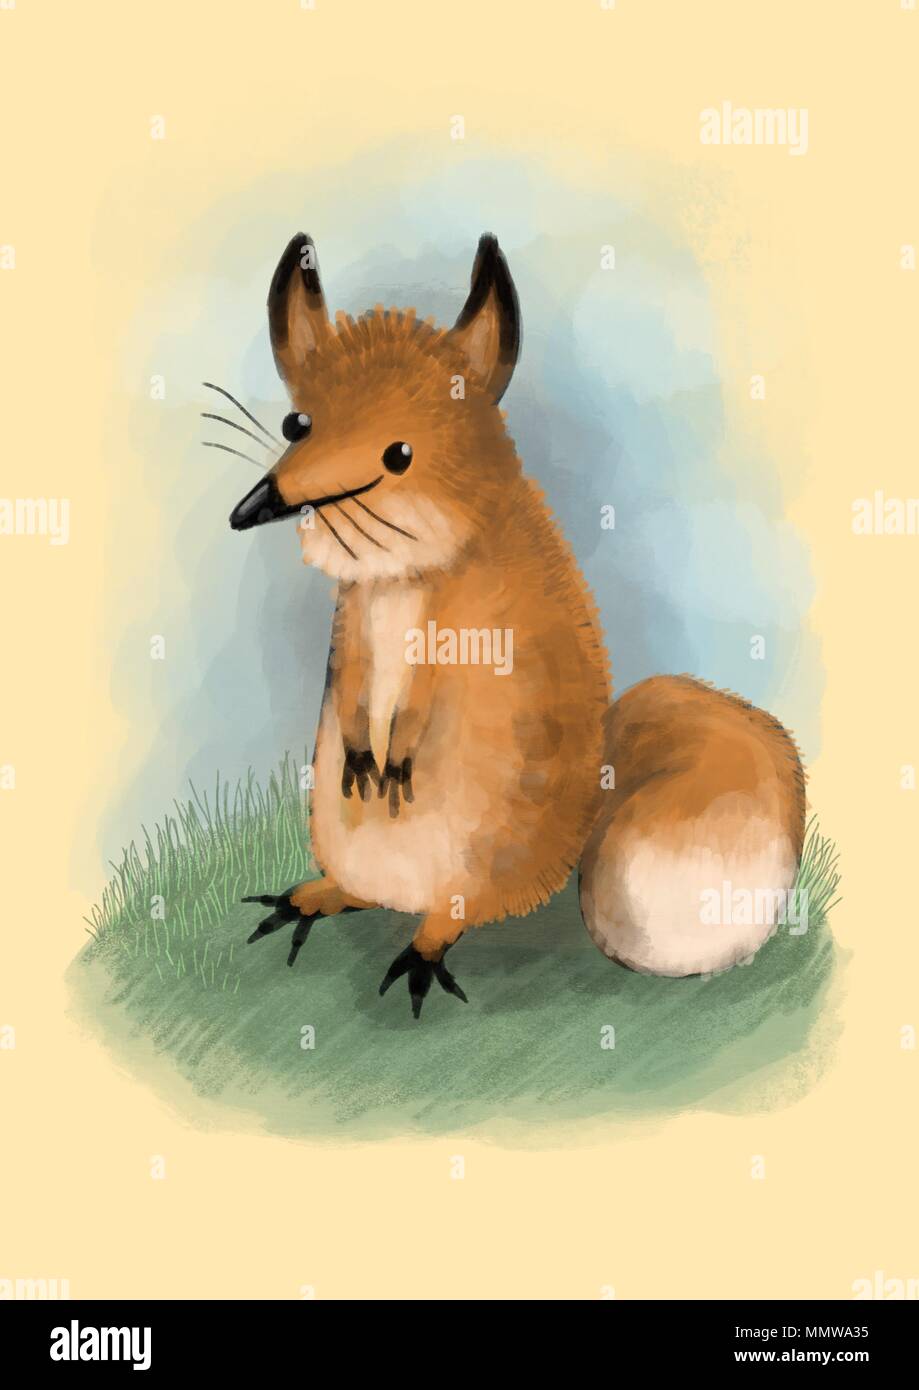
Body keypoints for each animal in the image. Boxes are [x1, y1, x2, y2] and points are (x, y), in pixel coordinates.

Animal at [228, 231, 805, 1017]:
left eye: (398, 455)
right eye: (297, 424)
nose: (255, 507)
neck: (395, 576)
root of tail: (576, 836)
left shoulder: (448, 631)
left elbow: (415, 705)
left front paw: (395, 761)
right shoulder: (350, 624)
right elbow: (352, 692)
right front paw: (363, 761)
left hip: (474, 863)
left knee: (452, 915)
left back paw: (418, 957)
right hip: (342, 837)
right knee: (363, 893)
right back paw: (306, 900)